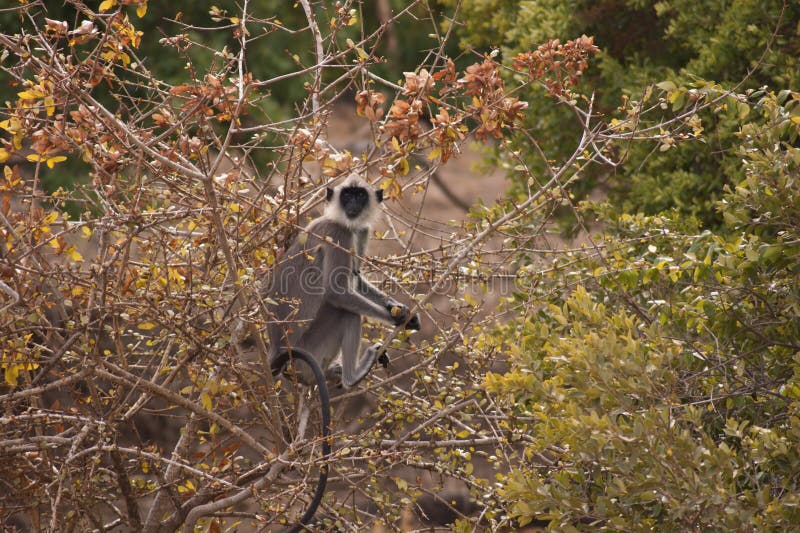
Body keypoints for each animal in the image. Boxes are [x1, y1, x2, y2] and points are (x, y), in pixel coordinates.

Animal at [265, 173, 420, 389]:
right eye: (347, 195)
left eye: (360, 195)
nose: (353, 204)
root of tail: (277, 348)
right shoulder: (339, 233)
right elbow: (336, 292)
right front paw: (397, 318)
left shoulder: (362, 231)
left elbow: (357, 276)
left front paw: (399, 309)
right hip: (309, 349)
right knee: (348, 313)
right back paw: (352, 377)